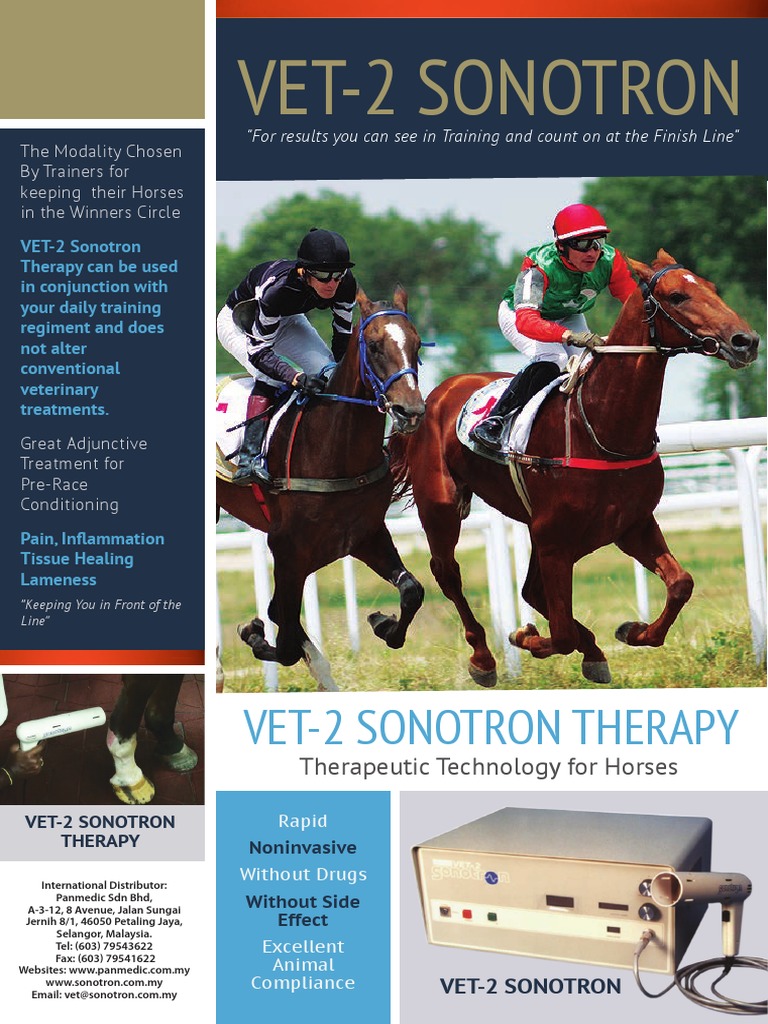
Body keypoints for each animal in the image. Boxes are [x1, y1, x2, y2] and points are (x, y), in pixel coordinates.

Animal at [216, 286, 427, 690]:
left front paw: (384, 624)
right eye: (374, 346)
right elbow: (283, 635)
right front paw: (253, 633)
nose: (410, 412)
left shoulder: (364, 535)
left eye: (417, 343)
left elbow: (412, 591)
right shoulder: (287, 550)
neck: (335, 451)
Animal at [387, 251, 760, 688]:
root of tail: (436, 393)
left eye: (712, 288)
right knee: (448, 574)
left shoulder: (630, 525)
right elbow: (561, 633)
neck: (601, 427)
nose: (746, 341)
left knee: (530, 591)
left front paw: (632, 631)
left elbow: (681, 584)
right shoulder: (554, 539)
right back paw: (483, 658)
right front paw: (527, 637)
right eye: (677, 296)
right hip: (442, 506)